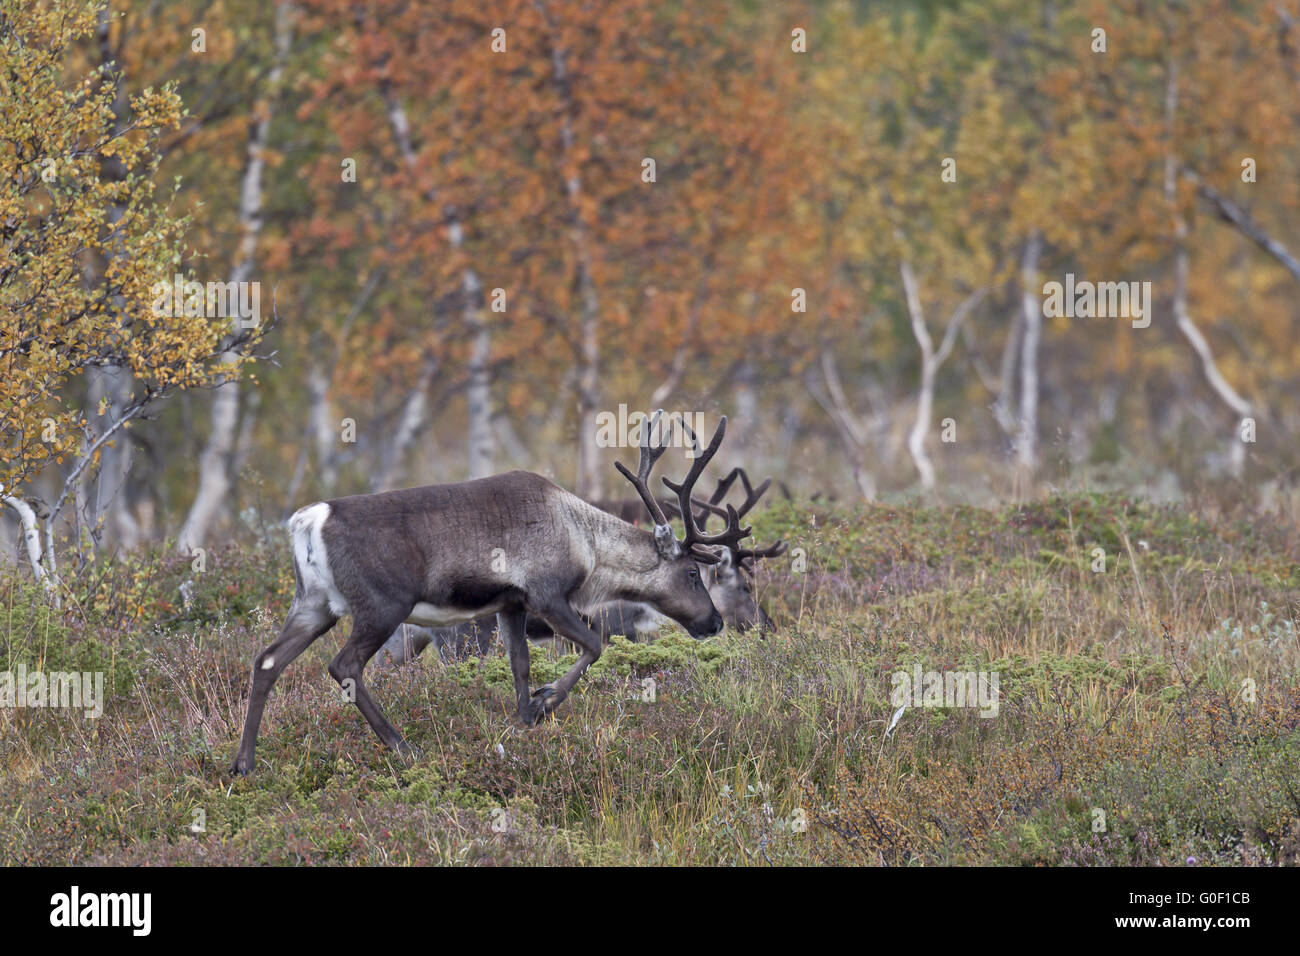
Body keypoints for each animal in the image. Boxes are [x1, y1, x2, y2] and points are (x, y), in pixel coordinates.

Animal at [230, 409, 749, 775]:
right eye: (691, 573)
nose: (714, 623)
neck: (584, 542)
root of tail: (307, 520)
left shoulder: (511, 604)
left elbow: (520, 663)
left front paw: (523, 717)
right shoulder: (546, 595)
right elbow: (593, 646)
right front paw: (543, 702)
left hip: (314, 604)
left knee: (267, 660)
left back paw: (243, 764)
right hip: (381, 607)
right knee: (344, 666)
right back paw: (404, 747)